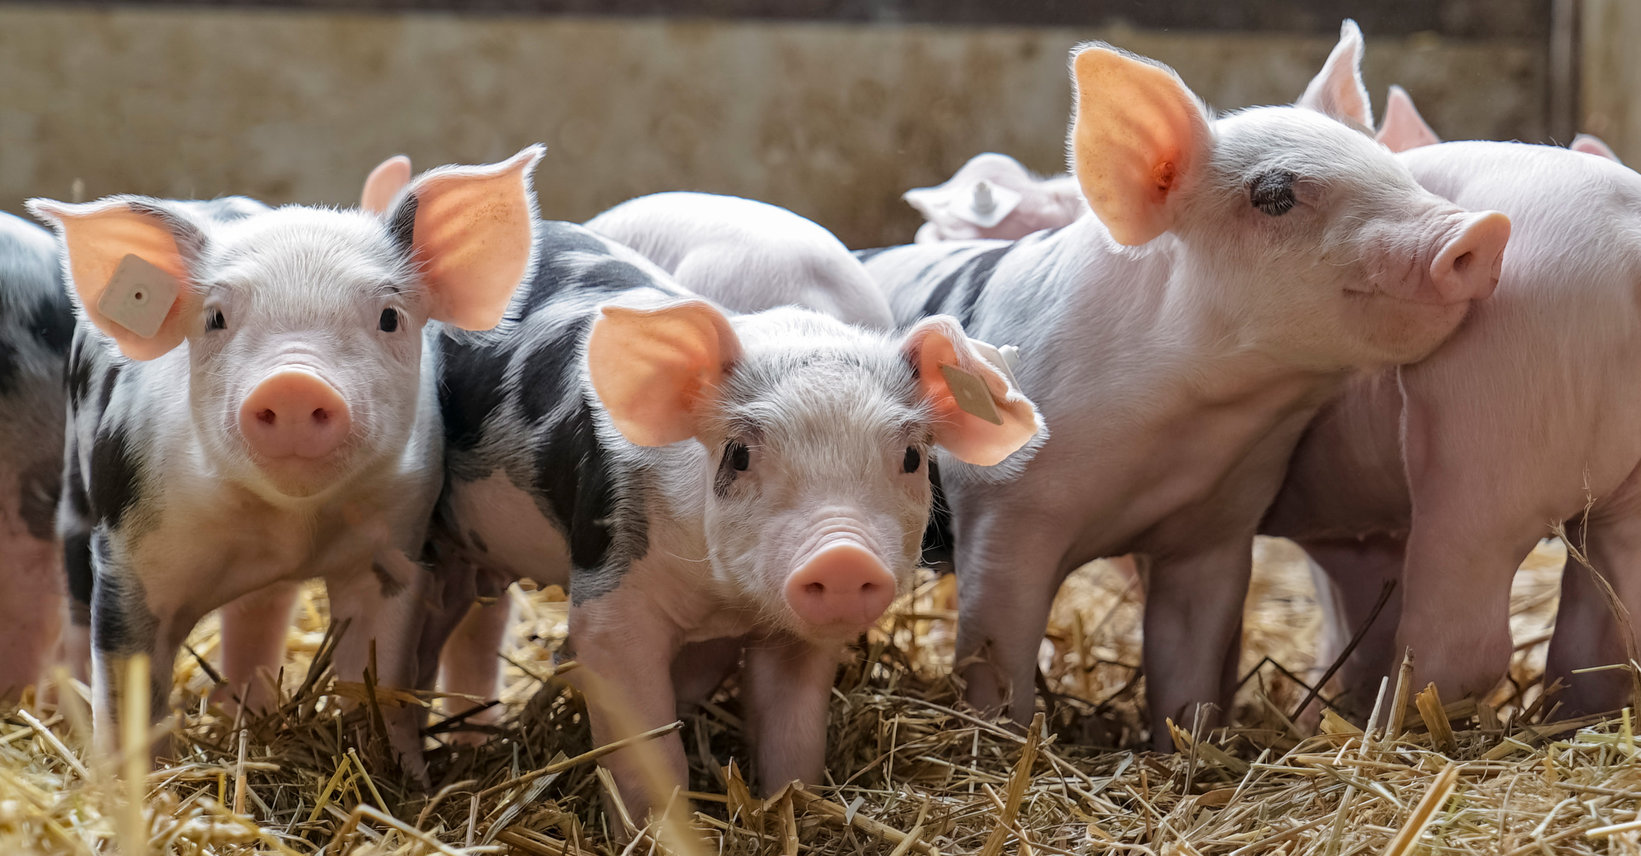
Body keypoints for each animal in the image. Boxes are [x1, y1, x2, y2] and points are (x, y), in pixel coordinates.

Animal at [30, 146, 542, 765]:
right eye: (215, 318)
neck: (291, 526)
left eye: (389, 317)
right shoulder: (130, 558)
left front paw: (400, 772)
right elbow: (127, 691)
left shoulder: (394, 552)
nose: (294, 383)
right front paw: (134, 780)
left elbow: (380, 679)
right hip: (78, 499)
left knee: (258, 615)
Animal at [426, 218, 1042, 820]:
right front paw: (660, 828)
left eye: (913, 457)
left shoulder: (796, 638)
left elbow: (793, 736)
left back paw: (471, 737)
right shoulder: (610, 595)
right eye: (739, 454)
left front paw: (791, 807)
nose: (843, 556)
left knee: (481, 625)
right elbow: (646, 746)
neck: (723, 601)